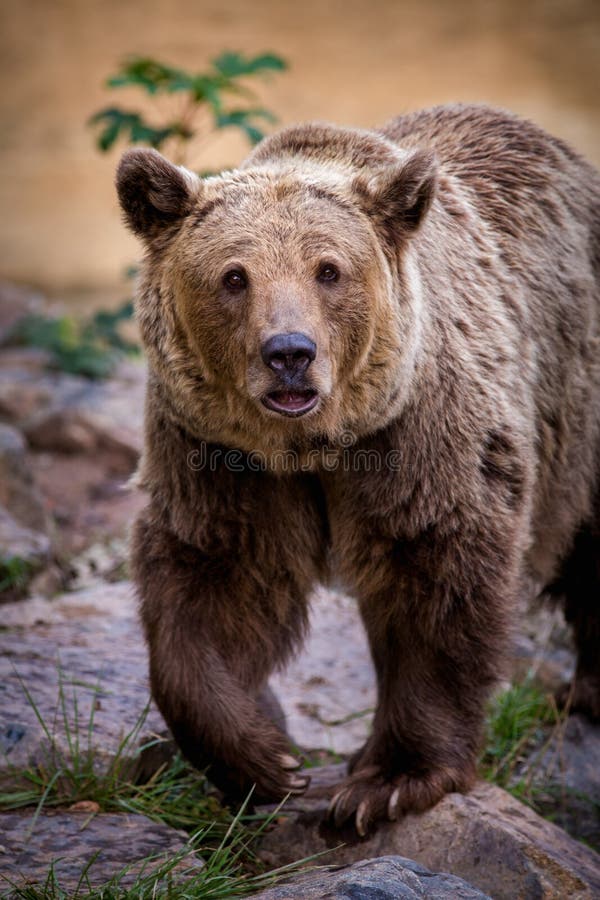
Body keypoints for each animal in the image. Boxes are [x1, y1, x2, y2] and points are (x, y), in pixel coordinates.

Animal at [117, 104, 600, 836]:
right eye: (235, 276)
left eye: (328, 270)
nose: (289, 352)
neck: (315, 445)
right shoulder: (221, 456)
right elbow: (211, 581)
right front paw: (265, 761)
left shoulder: (418, 434)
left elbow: (437, 576)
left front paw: (389, 781)